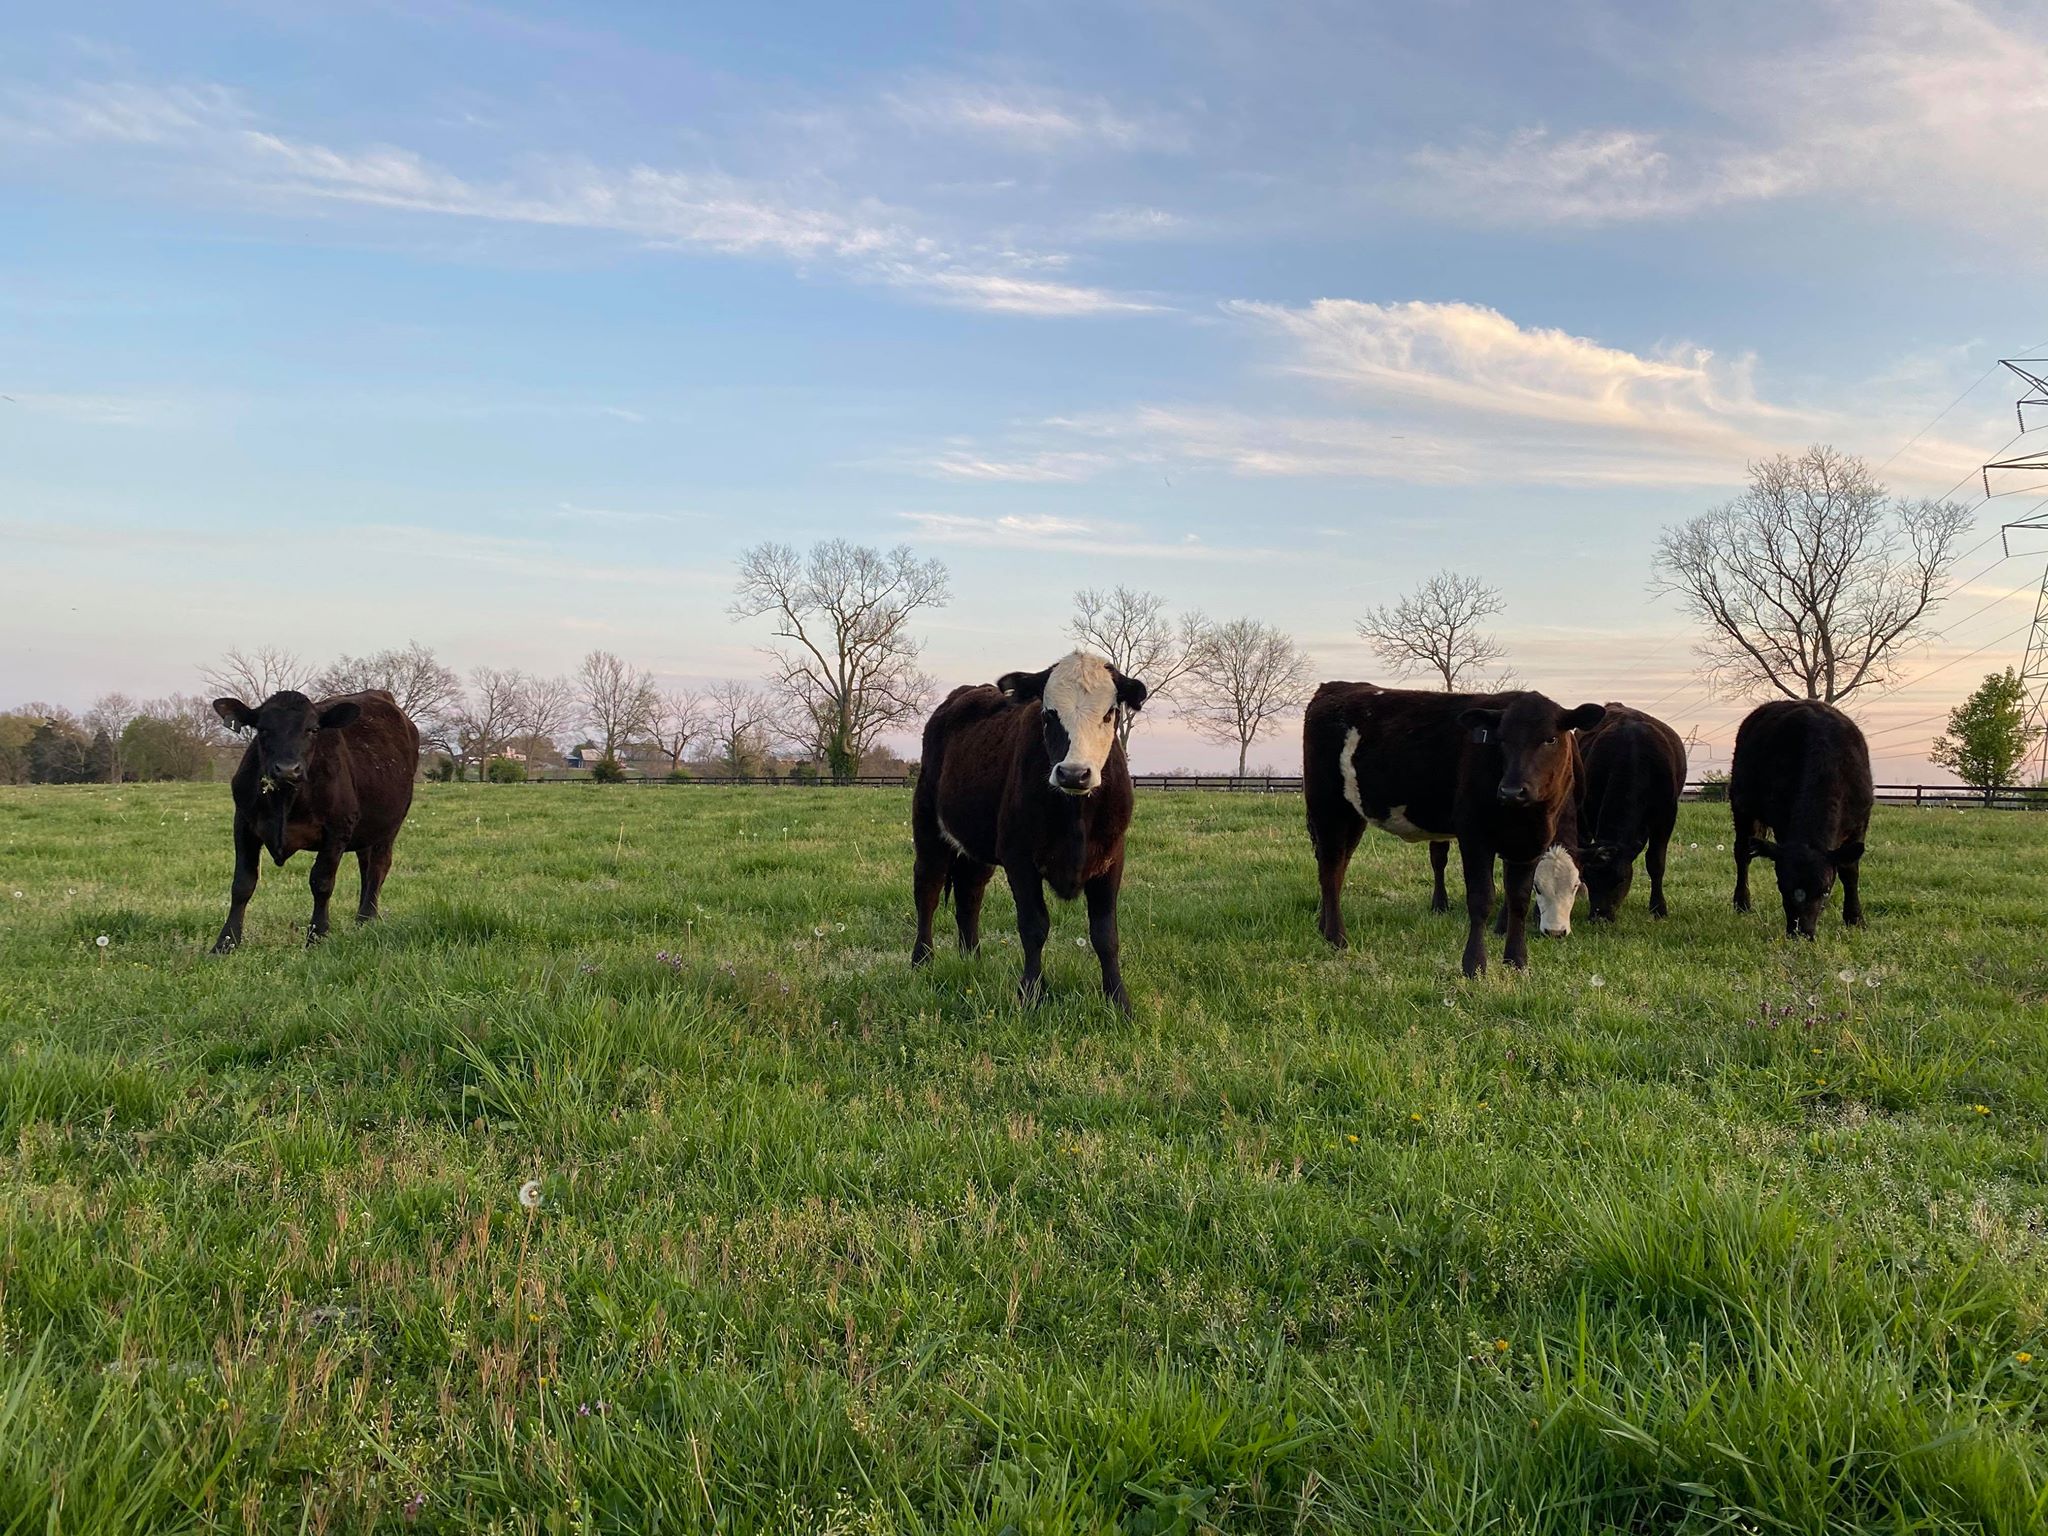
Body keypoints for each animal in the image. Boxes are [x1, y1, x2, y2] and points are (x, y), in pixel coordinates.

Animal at [209, 689, 420, 953]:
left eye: (313, 729)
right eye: (263, 729)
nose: (287, 769)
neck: (285, 800)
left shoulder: (337, 830)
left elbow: (321, 882)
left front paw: (317, 936)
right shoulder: (243, 825)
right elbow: (242, 884)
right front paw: (225, 943)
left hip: (390, 825)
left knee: (378, 868)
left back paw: (367, 917)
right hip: (366, 830)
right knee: (366, 865)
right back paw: (360, 920)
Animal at [912, 651, 1147, 1011]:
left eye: (1110, 714)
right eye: (1049, 714)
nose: (1073, 773)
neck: (1075, 816)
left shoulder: (1112, 857)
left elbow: (1105, 934)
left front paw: (1118, 1001)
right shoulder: (1019, 858)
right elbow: (1034, 926)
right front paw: (1032, 994)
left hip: (978, 849)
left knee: (969, 897)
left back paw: (972, 961)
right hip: (929, 830)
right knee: (928, 890)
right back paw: (921, 962)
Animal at [1303, 683, 1604, 976]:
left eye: (1550, 739)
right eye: (1501, 740)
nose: (1511, 790)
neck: (1529, 815)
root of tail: (1333, 688)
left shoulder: (1530, 842)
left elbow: (1518, 898)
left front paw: (1517, 962)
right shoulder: (1473, 833)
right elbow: (1481, 898)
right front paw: (1474, 965)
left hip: (1352, 816)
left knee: (1338, 866)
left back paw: (1323, 926)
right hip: (1327, 808)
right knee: (1330, 870)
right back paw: (1336, 937)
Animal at [1574, 703, 1687, 923]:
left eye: (1621, 879)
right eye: (1588, 878)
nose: (1599, 917)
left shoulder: (1666, 816)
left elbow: (1656, 861)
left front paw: (1659, 908)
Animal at [1729, 699, 1871, 938]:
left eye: (1825, 891)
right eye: (1781, 887)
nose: (1801, 932)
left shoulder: (1860, 822)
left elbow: (1850, 870)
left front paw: (1855, 919)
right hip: (1742, 806)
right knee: (1742, 853)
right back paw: (1742, 903)